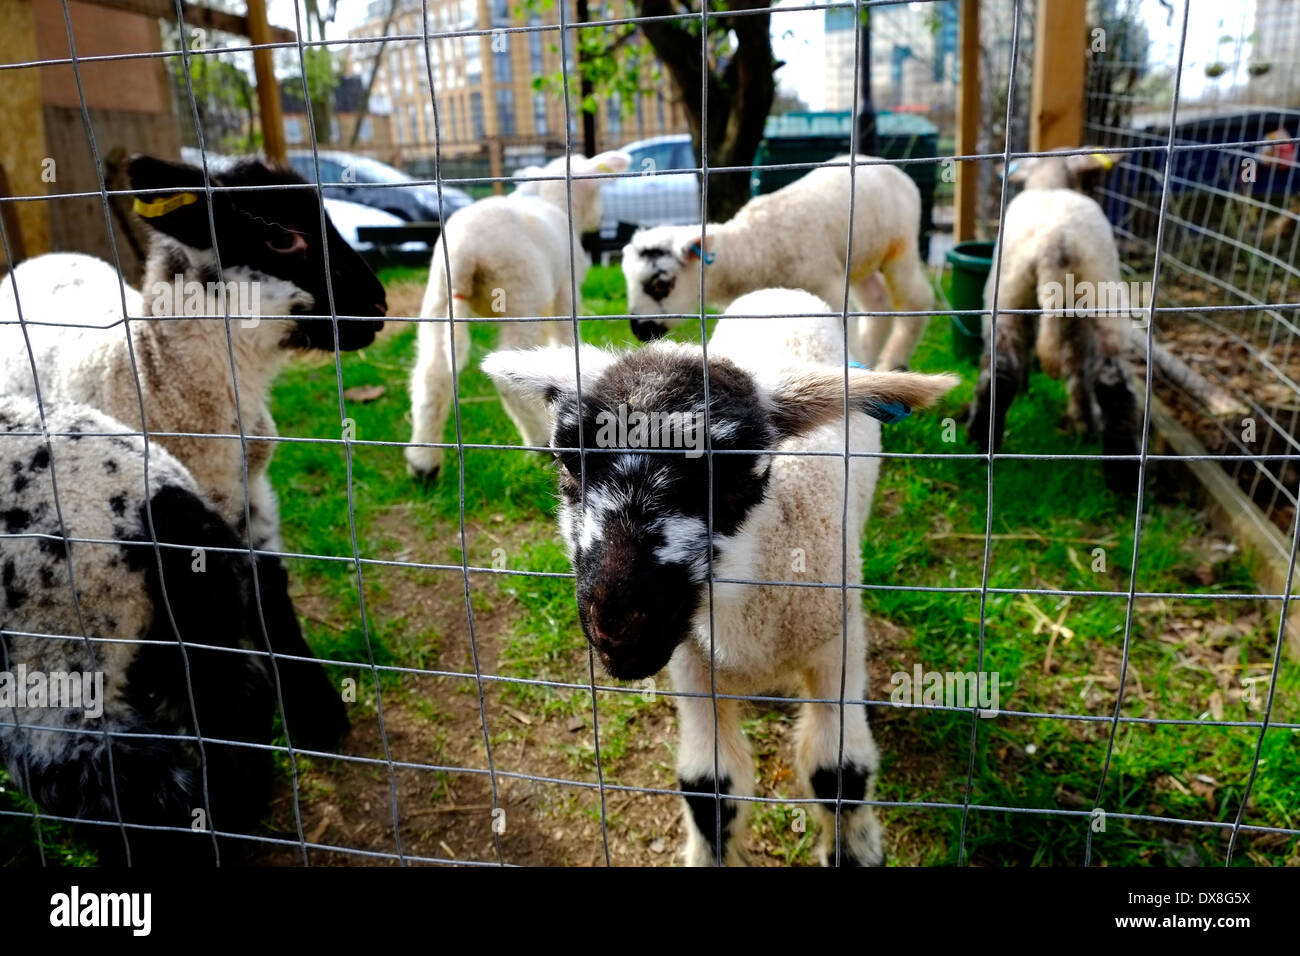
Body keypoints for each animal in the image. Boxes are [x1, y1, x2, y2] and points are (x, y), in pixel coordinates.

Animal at [404, 151, 632, 481]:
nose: (599, 219)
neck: (558, 204)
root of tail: (464, 248)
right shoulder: (566, 291)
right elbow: (565, 340)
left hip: (438, 297)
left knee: (432, 373)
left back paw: (423, 463)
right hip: (520, 295)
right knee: (507, 372)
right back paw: (538, 440)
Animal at [484, 287, 957, 866]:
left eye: (733, 473)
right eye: (568, 463)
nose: (619, 626)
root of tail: (779, 291)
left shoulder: (835, 644)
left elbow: (838, 773)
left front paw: (855, 850)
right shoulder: (693, 664)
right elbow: (709, 788)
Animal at [620, 155, 934, 371]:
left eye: (661, 284)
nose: (639, 330)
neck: (754, 247)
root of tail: (887, 166)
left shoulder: (827, 286)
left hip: (901, 242)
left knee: (916, 298)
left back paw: (893, 362)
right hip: (859, 258)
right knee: (877, 302)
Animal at [965, 151, 1140, 493]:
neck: (1048, 183)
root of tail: (1054, 243)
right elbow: (1076, 365)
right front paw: (1082, 421)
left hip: (1009, 295)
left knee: (1000, 371)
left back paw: (979, 444)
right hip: (1101, 295)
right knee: (1111, 382)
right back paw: (1121, 478)